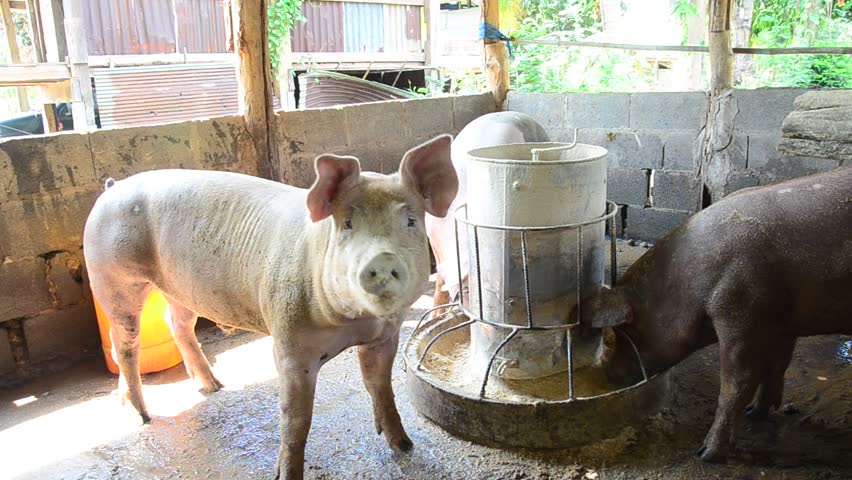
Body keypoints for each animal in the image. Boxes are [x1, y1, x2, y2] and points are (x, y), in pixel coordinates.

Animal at [82, 135, 458, 480]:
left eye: (410, 222)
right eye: (347, 225)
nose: (381, 258)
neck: (352, 323)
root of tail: (111, 188)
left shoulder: (384, 335)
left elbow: (380, 386)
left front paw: (404, 446)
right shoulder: (288, 343)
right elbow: (296, 419)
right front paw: (286, 474)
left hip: (179, 287)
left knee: (178, 323)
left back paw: (214, 386)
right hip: (111, 276)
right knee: (124, 343)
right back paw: (141, 416)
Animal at [576, 166, 852, 462]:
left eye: (625, 331)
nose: (609, 375)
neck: (686, 282)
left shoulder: (741, 312)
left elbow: (738, 382)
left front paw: (707, 453)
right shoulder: (782, 322)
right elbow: (777, 365)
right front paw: (756, 413)